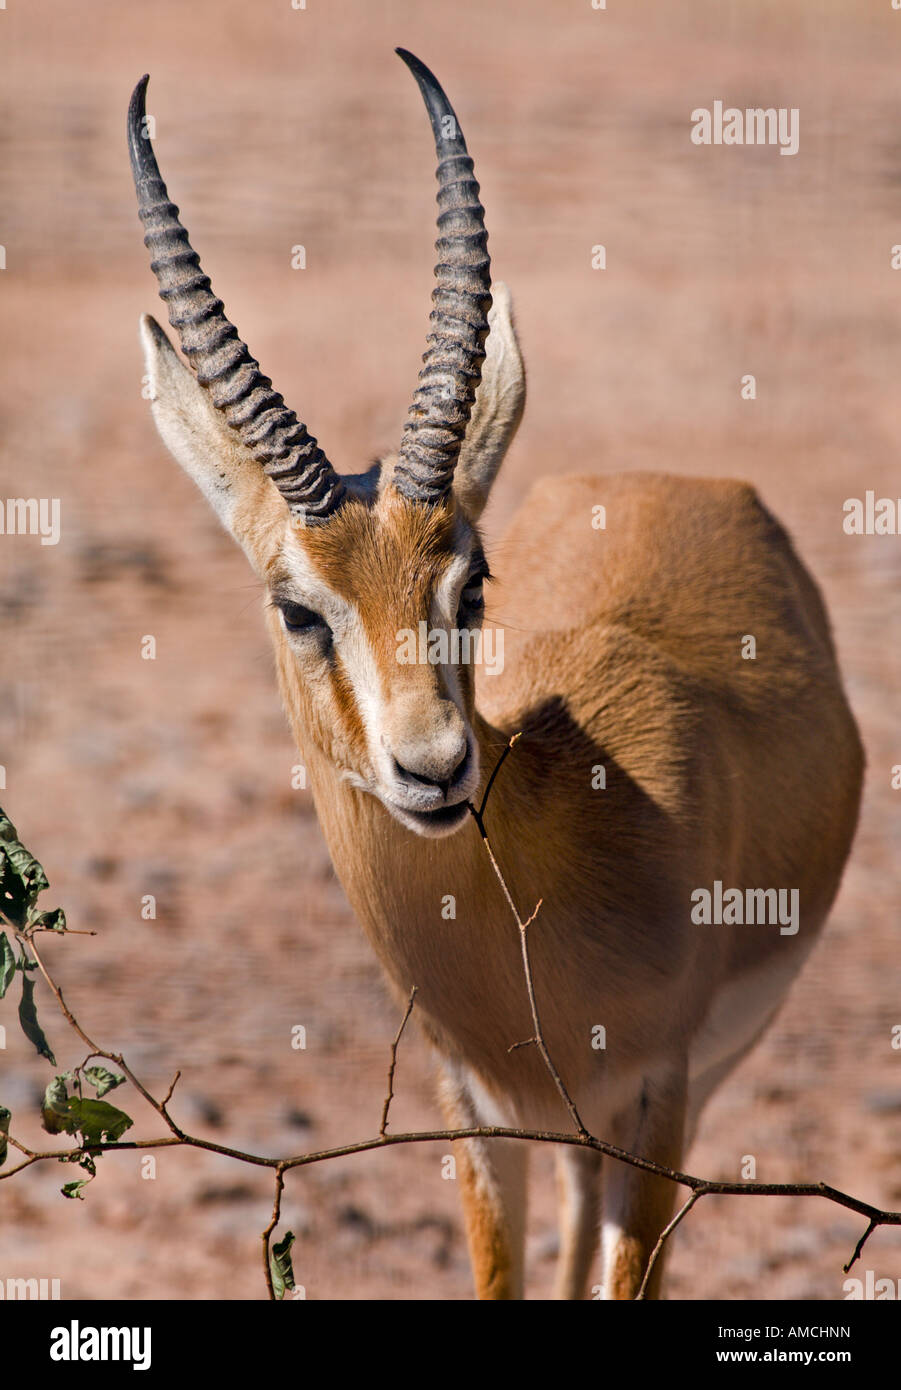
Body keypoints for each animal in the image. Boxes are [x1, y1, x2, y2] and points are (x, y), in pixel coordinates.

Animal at [127, 50, 864, 1299]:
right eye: (296, 607)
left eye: (470, 583)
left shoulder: (658, 1096)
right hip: (567, 1133)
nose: (433, 768)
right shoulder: (476, 1110)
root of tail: (682, 480)